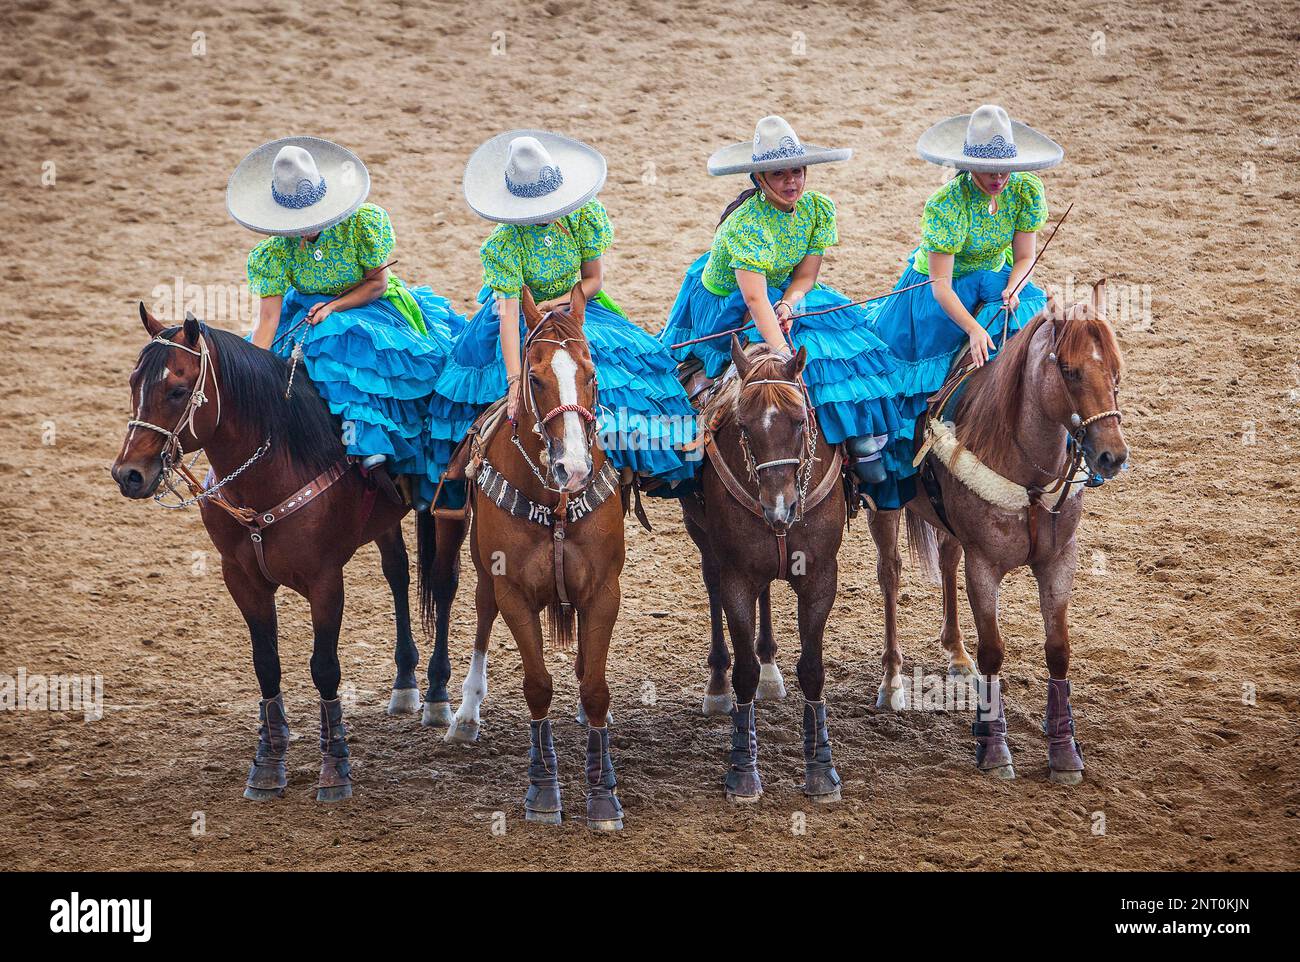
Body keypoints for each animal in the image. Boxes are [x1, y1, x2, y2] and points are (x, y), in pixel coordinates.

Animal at [111, 305, 465, 802]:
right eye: (132, 383)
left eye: (178, 390)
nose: (128, 474)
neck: (273, 468)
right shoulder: (241, 579)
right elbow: (267, 666)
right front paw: (267, 764)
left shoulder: (325, 580)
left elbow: (325, 669)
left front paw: (335, 769)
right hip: (385, 521)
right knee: (397, 573)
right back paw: (405, 682)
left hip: (450, 510)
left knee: (444, 584)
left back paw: (436, 694)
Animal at [440, 284, 628, 831]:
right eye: (537, 378)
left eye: (591, 373)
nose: (574, 467)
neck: (555, 501)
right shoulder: (514, 594)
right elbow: (538, 686)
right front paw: (543, 790)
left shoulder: (604, 592)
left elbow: (595, 688)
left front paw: (603, 795)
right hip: (485, 574)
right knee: (482, 616)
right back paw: (465, 715)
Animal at [681, 336, 848, 804]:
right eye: (743, 425)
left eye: (799, 421)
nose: (780, 508)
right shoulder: (737, 577)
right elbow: (744, 672)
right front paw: (742, 770)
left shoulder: (820, 579)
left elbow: (812, 670)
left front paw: (821, 769)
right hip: (704, 540)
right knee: (713, 584)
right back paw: (717, 684)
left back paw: (772, 665)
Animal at [867, 281, 1128, 783]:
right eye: (1069, 370)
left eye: (1116, 371)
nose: (1112, 455)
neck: (1027, 475)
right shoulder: (984, 565)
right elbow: (993, 650)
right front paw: (993, 747)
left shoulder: (1059, 560)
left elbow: (1058, 649)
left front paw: (1064, 752)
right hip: (884, 508)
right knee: (889, 575)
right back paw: (892, 681)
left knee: (947, 558)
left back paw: (955, 652)